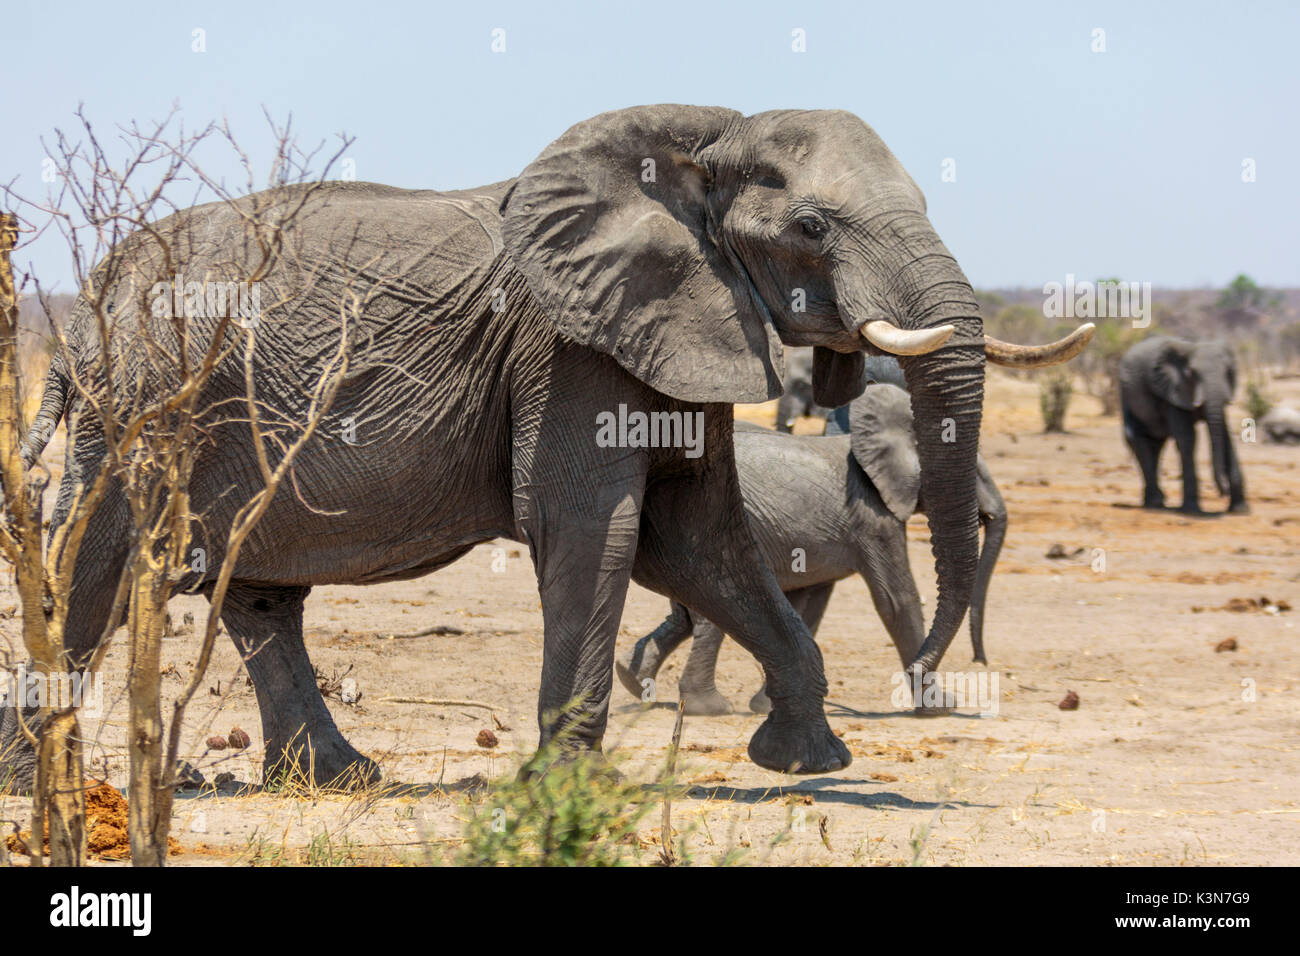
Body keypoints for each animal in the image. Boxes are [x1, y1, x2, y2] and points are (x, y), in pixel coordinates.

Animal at [615, 378, 1007, 716]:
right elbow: (897, 600)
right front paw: (941, 709)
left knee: (687, 613)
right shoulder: (871, 514)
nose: (980, 660)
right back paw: (708, 707)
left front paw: (767, 705)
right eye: (975, 474)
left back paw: (633, 680)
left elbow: (809, 607)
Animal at [1119, 336, 1247, 514]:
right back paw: (1155, 502)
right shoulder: (1173, 392)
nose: (1223, 492)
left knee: (1155, 445)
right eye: (1192, 373)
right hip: (1125, 394)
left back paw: (1153, 501)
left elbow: (1226, 437)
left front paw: (1240, 509)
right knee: (1136, 439)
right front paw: (1192, 510)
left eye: (1228, 371)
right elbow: (1188, 438)